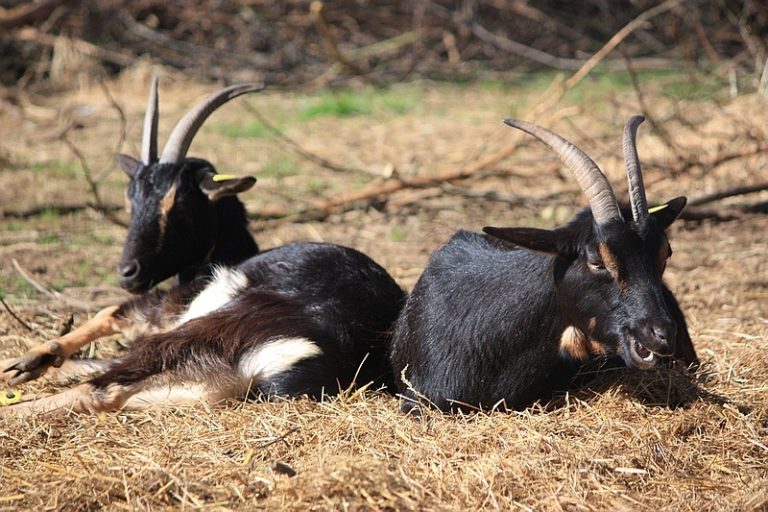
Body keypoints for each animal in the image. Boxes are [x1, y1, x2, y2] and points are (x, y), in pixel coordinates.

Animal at [1, 80, 405, 414]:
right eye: (131, 198)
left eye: (177, 203)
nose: (128, 273)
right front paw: (31, 364)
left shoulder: (175, 305)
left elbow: (115, 312)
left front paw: (31, 362)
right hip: (210, 381)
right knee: (117, 390)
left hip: (204, 332)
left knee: (103, 386)